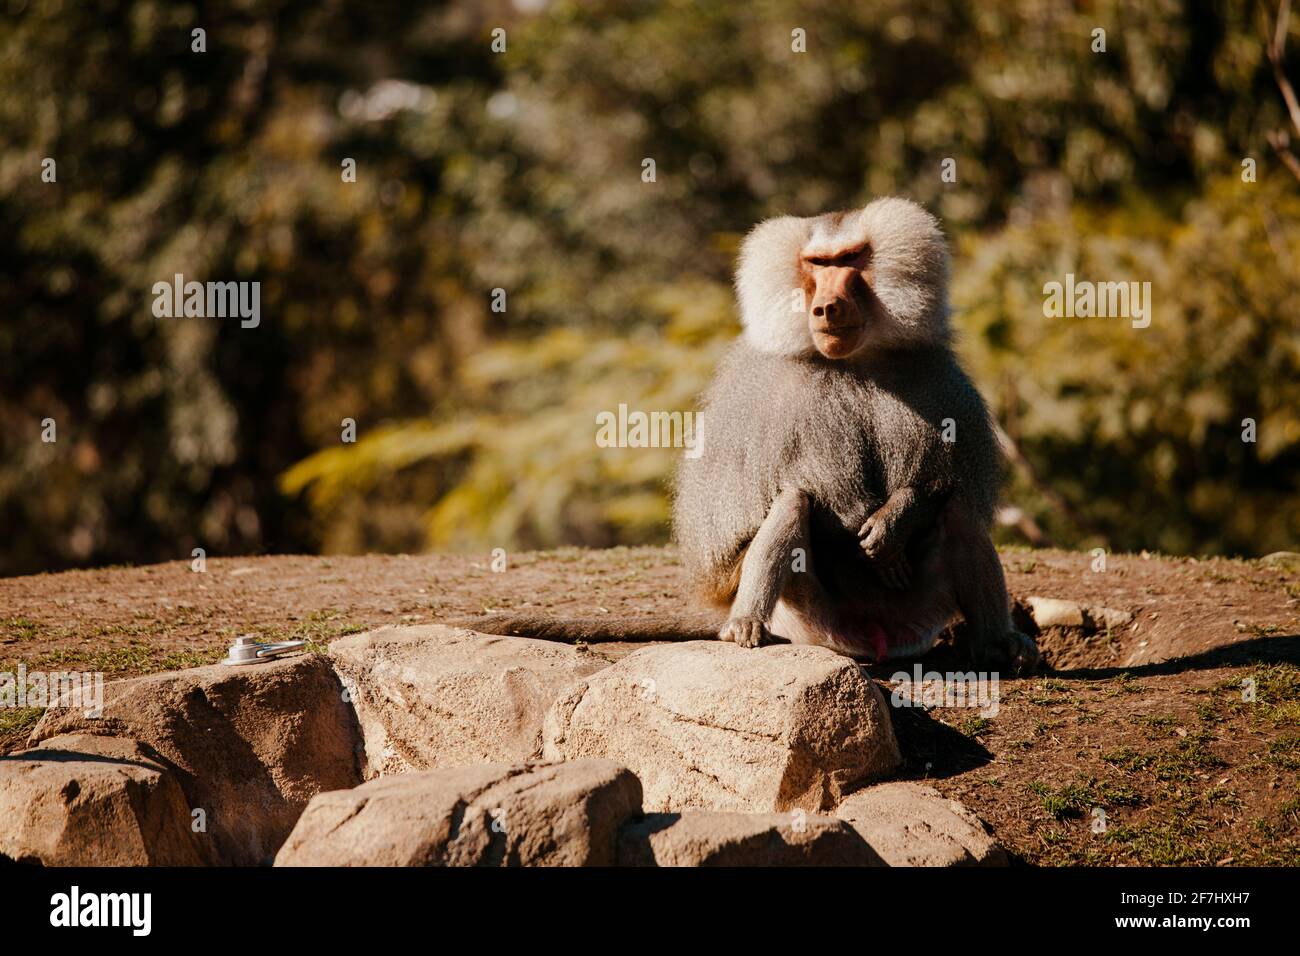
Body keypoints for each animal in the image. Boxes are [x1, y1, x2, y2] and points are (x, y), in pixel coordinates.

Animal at [459, 197, 1039, 672]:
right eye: (817, 265)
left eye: (851, 259)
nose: (826, 307)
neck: (852, 364)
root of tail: (876, 641)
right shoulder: (764, 396)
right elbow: (794, 499)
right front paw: (866, 522)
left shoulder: (941, 383)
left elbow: (942, 488)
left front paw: (896, 518)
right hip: (813, 619)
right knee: (793, 501)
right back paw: (745, 625)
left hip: (922, 613)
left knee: (958, 512)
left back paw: (998, 645)